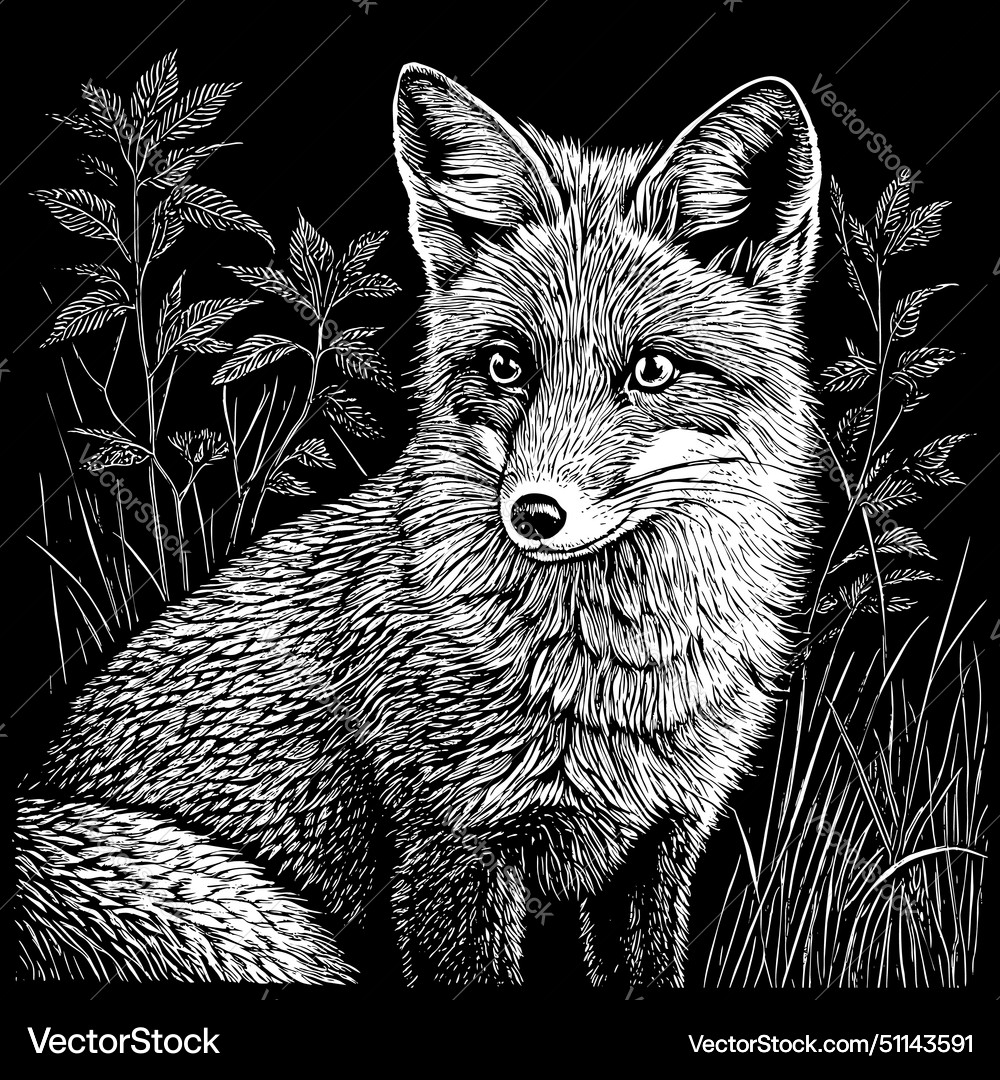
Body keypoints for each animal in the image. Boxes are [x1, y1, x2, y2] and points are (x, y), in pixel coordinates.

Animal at [17, 64, 822, 987]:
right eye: (506, 365)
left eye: (652, 370)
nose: (535, 513)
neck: (616, 689)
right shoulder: (451, 850)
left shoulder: (659, 846)